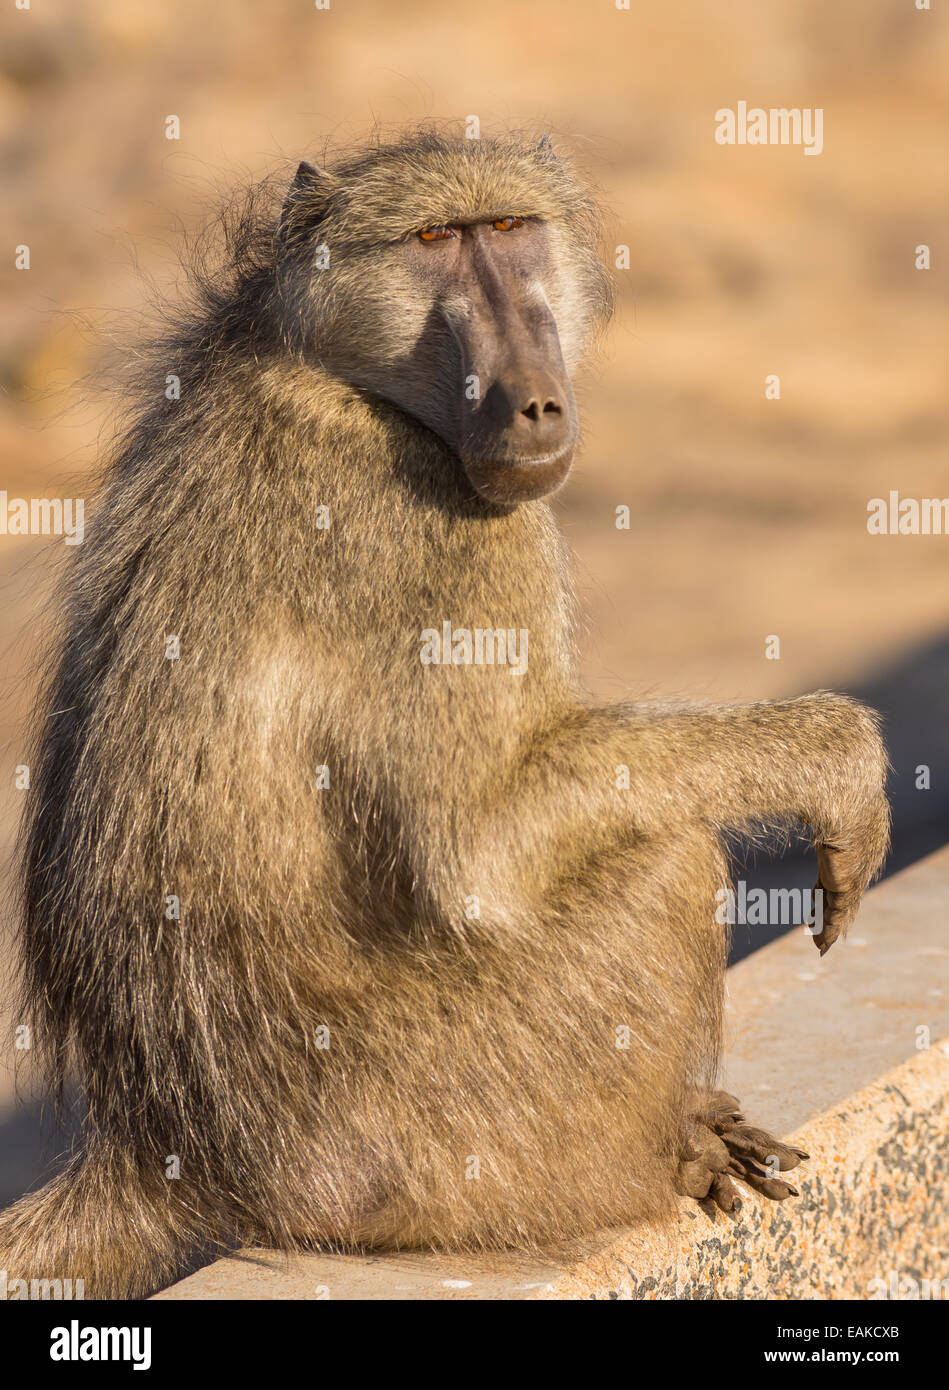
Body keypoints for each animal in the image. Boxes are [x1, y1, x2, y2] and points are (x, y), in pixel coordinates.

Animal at [0, 128, 889, 1299]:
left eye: (507, 230)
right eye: (433, 242)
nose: (532, 401)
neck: (327, 369)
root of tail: (169, 1150)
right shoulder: (440, 529)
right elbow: (483, 842)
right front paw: (837, 759)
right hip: (422, 1138)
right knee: (670, 860)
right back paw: (654, 1155)